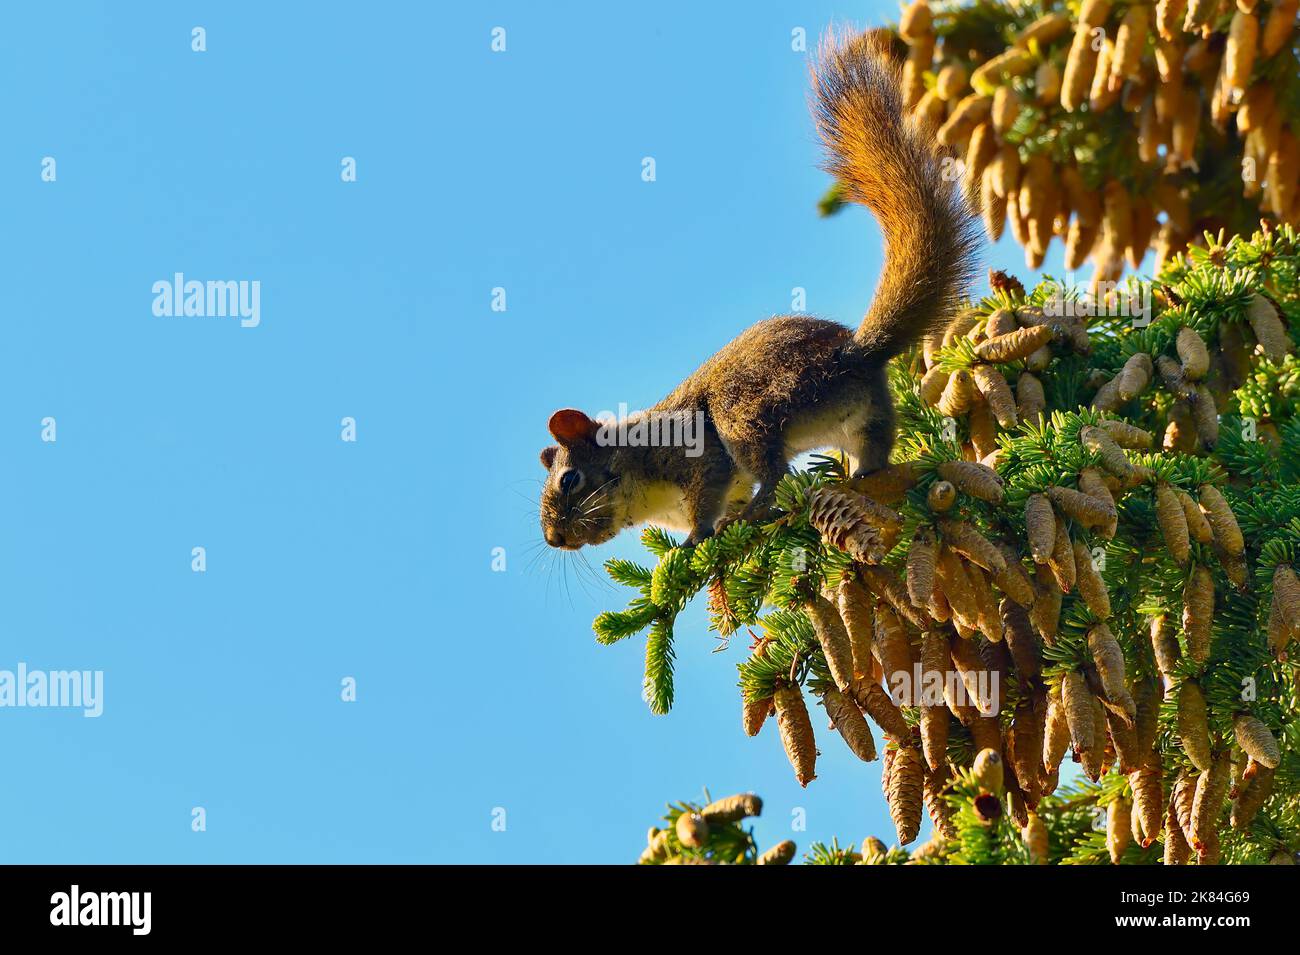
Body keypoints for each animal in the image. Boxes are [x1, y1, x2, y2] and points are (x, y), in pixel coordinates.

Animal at [539, 32, 978, 550]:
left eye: (570, 479)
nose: (554, 539)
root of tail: (852, 357)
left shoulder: (695, 453)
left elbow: (708, 497)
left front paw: (695, 540)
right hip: (860, 418)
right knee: (869, 450)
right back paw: (861, 480)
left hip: (743, 411)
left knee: (774, 475)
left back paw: (751, 517)